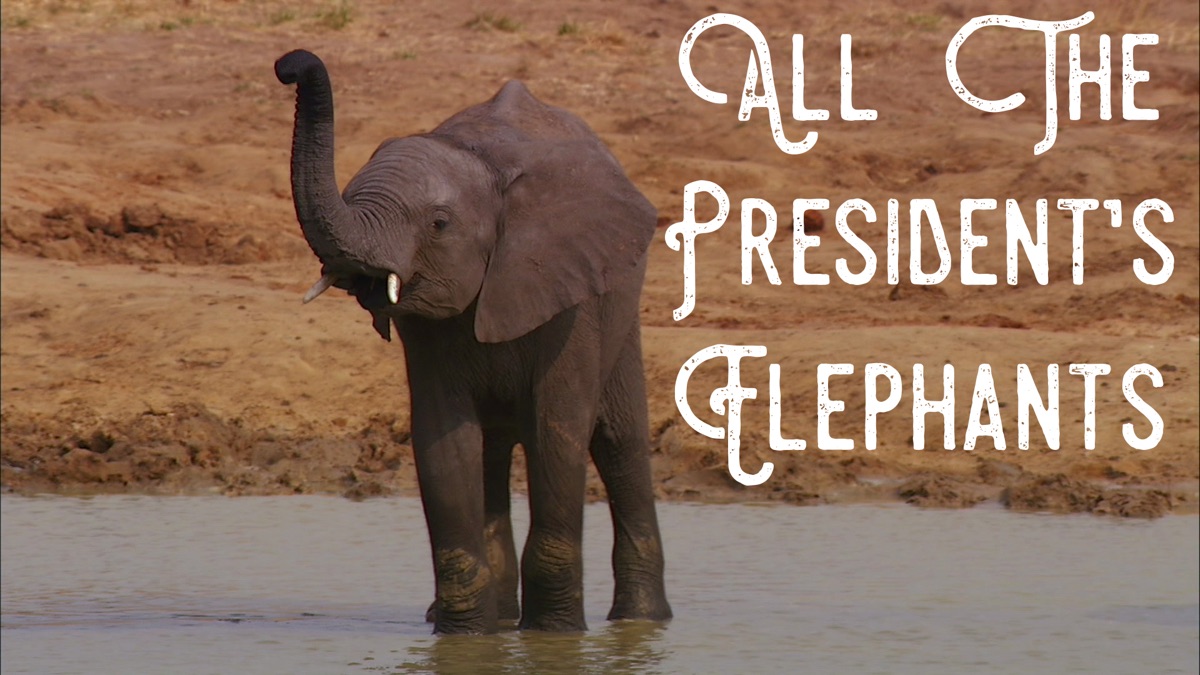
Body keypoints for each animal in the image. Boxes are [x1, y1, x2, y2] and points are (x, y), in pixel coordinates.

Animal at [274, 50, 672, 634]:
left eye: (439, 224)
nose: (289, 65)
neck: (484, 163)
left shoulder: (569, 302)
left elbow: (558, 431)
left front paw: (555, 636)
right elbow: (444, 441)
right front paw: (465, 637)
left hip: (618, 305)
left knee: (619, 441)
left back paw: (640, 623)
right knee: (491, 452)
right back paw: (501, 623)